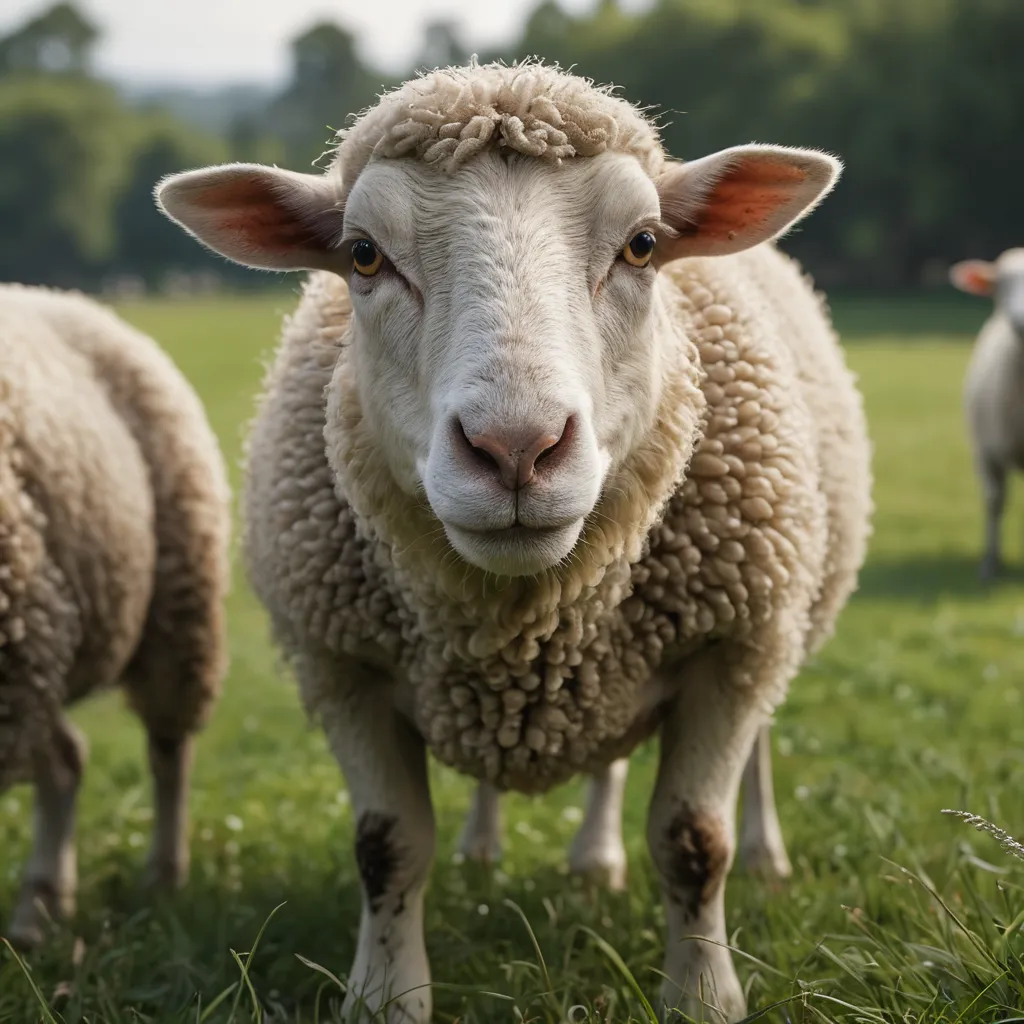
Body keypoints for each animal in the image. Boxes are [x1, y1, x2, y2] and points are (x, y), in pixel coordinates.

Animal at [0, 284, 230, 948]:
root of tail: (69, 300)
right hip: (40, 646)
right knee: (67, 759)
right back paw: (45, 902)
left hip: (174, 610)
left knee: (166, 752)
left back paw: (158, 879)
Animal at [157, 61, 871, 1023]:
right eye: (363, 256)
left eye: (644, 245)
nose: (515, 449)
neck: (531, 620)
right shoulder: (341, 665)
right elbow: (386, 845)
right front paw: (385, 997)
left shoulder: (734, 648)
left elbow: (693, 839)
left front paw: (703, 996)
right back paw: (526, 851)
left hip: (778, 627)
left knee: (746, 759)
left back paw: (757, 856)